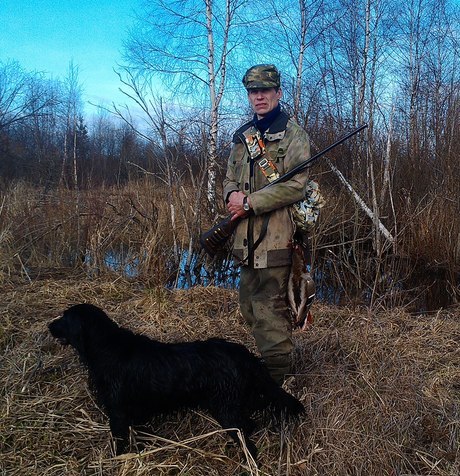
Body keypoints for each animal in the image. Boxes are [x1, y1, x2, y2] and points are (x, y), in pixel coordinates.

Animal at [48, 303, 304, 458]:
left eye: (64, 318)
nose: (48, 325)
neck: (106, 349)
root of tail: (244, 354)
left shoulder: (117, 412)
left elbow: (118, 441)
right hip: (234, 401)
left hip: (226, 408)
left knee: (246, 431)